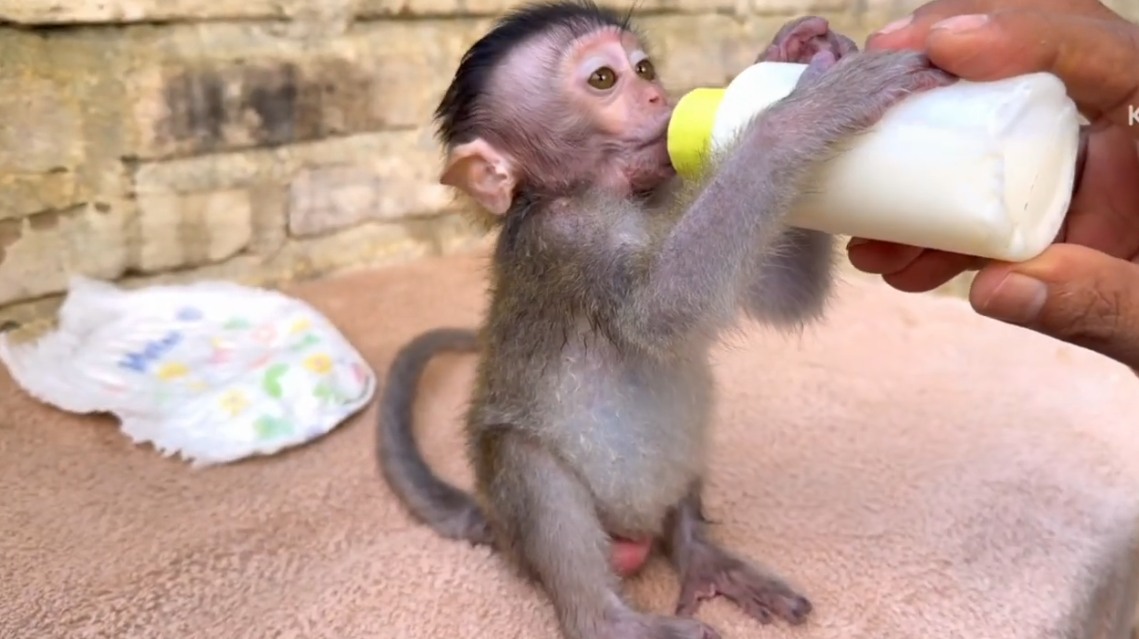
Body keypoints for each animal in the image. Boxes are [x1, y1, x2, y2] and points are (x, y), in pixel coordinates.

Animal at [376, 4, 954, 638]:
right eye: (604, 79)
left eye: (644, 68)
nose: (657, 96)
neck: (614, 196)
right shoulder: (561, 239)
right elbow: (659, 312)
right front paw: (806, 108)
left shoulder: (672, 184)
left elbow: (784, 297)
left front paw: (792, 52)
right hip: (531, 511)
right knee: (525, 462)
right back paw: (613, 621)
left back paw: (699, 551)